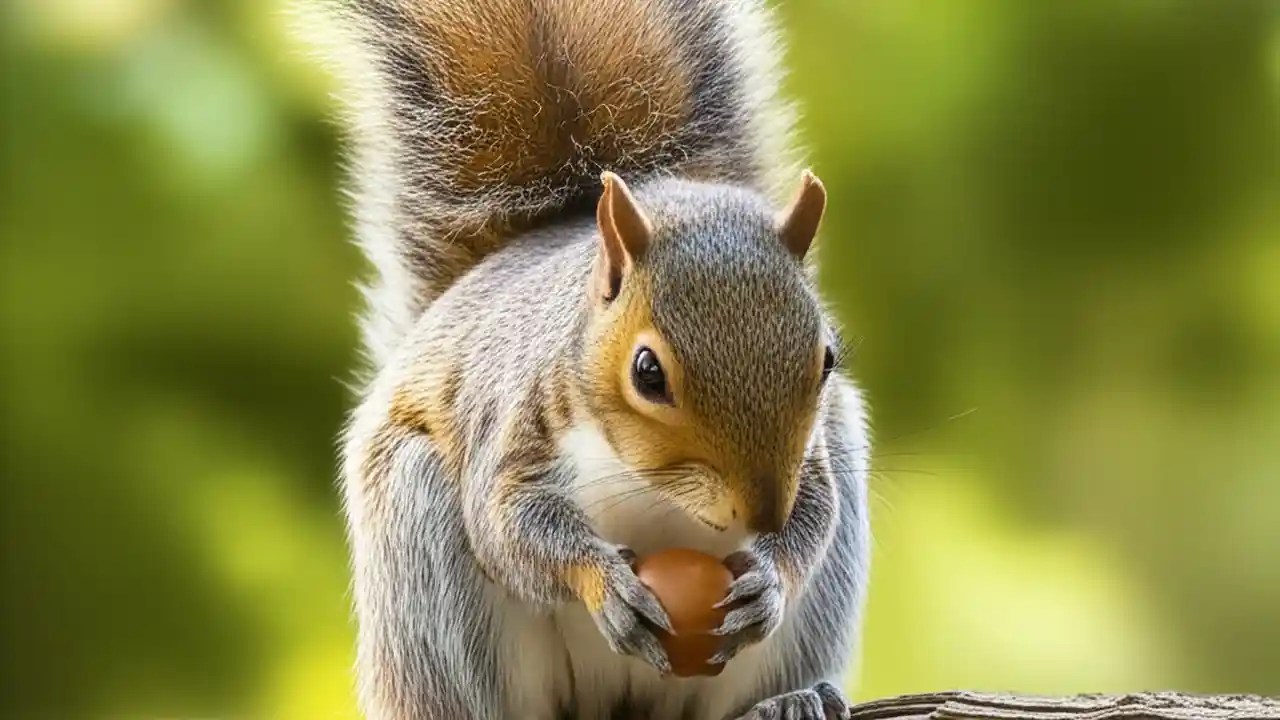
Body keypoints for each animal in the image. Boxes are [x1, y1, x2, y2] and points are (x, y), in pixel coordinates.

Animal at [305, 0, 871, 718]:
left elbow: (818, 513)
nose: (765, 512)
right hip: (421, 542)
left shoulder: (817, 459)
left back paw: (790, 698)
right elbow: (510, 526)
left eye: (828, 358)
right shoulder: (512, 419)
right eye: (647, 373)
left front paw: (770, 577)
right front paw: (604, 582)